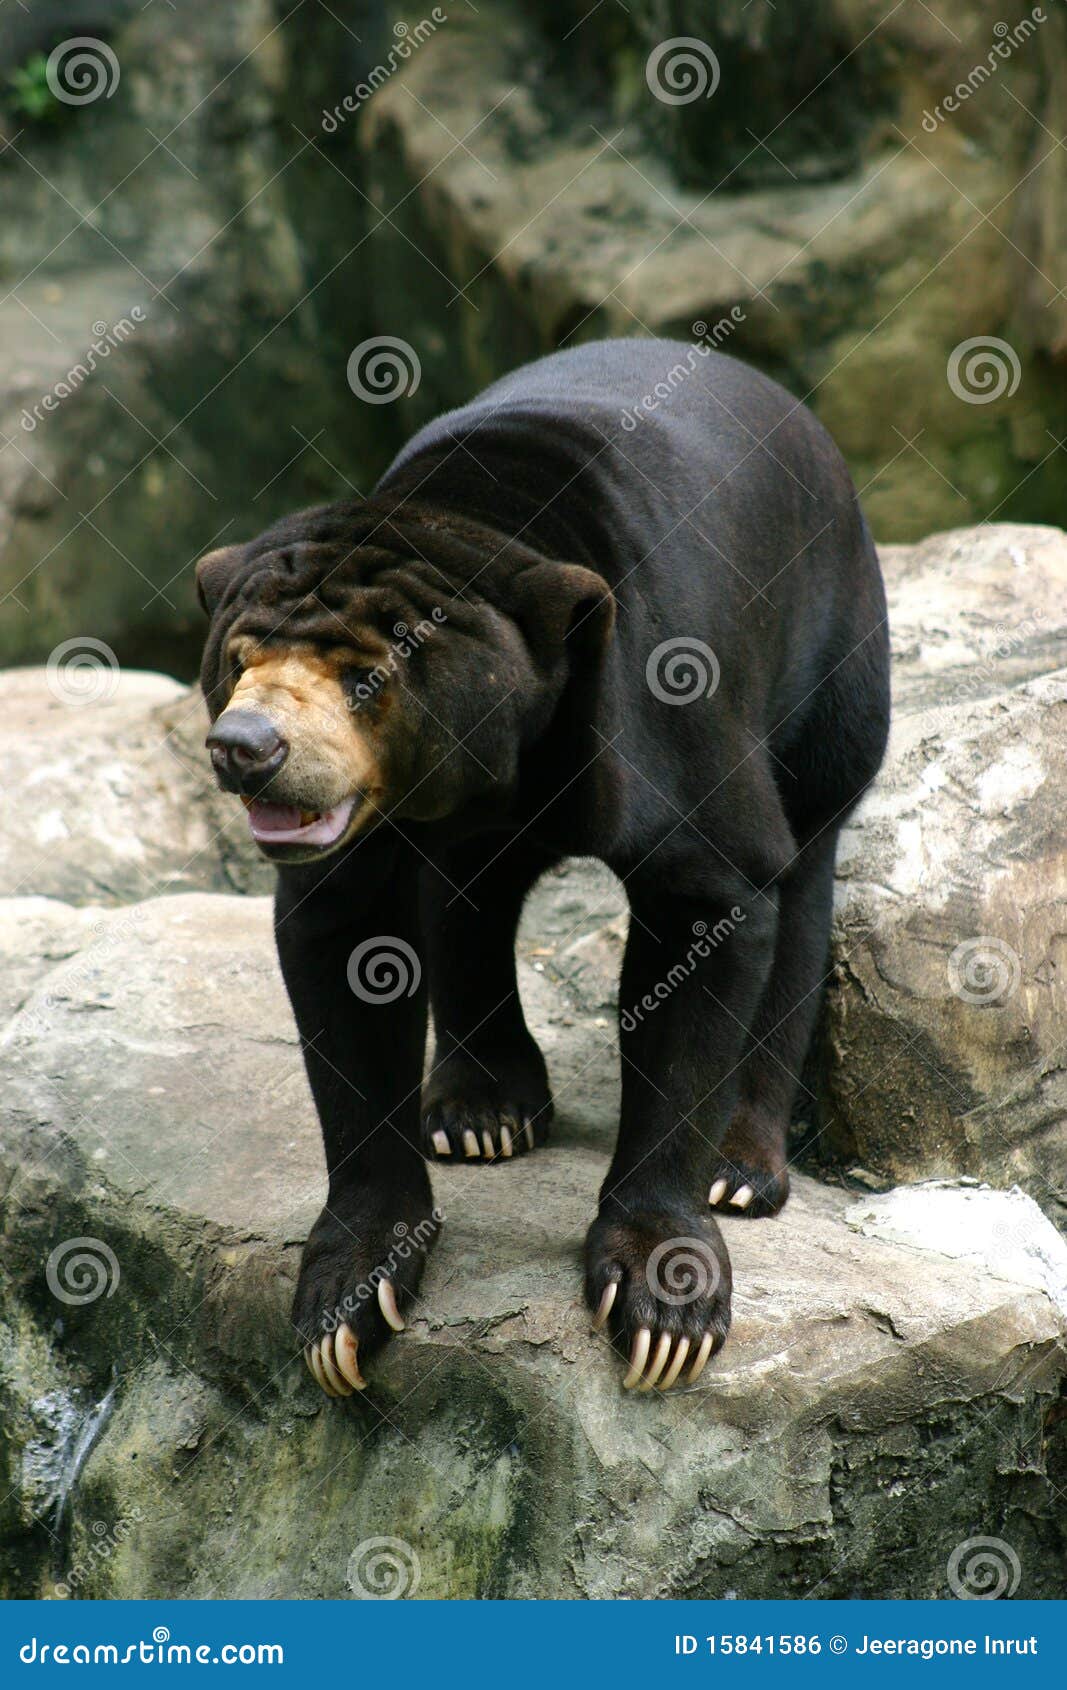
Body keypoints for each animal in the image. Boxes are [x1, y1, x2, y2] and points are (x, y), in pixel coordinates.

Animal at [197, 338, 890, 1396]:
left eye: (365, 679)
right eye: (236, 661)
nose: (245, 749)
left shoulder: (662, 712)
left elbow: (708, 913)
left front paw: (663, 1306)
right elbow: (344, 956)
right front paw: (345, 1305)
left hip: (835, 665)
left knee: (803, 876)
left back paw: (740, 1169)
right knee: (467, 896)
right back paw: (480, 1110)